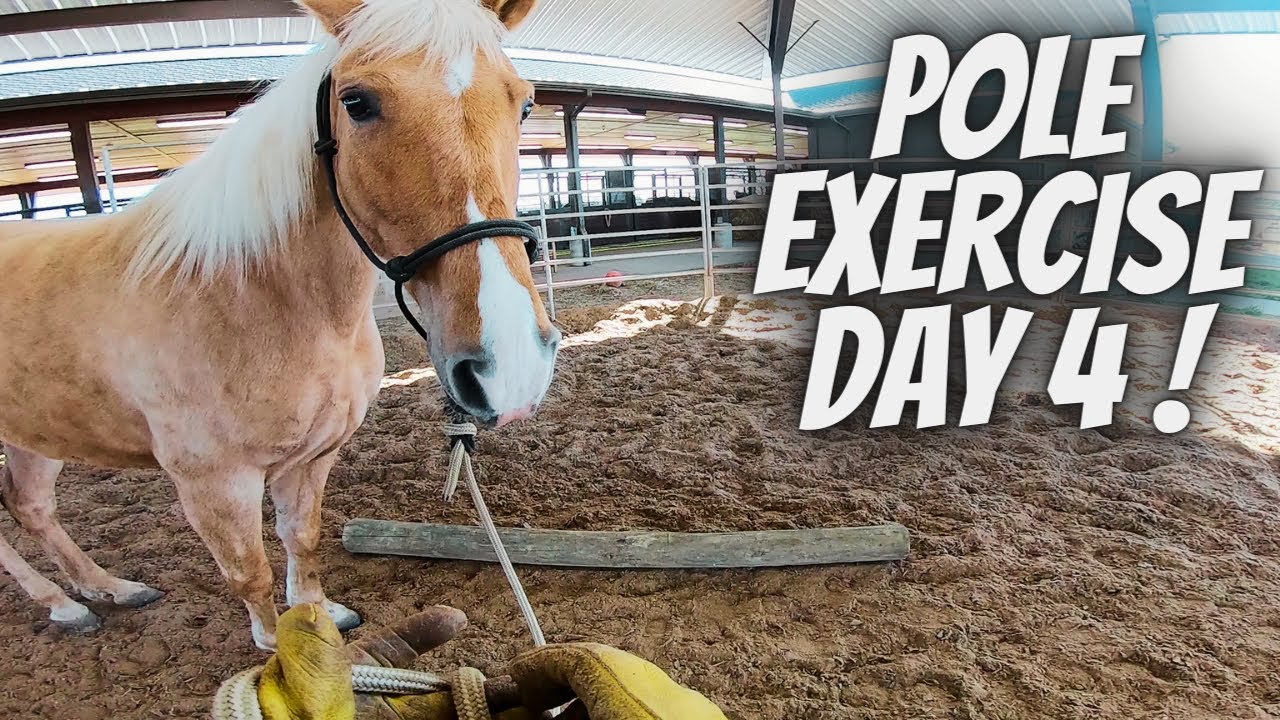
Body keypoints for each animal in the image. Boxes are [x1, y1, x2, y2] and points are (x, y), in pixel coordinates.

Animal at [0, 0, 556, 650]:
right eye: (357, 101)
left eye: (524, 103)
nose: (509, 366)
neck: (254, 296)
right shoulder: (216, 485)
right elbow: (251, 572)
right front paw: (276, 646)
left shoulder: (312, 457)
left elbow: (301, 540)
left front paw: (318, 618)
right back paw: (61, 605)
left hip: (35, 432)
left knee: (32, 506)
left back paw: (104, 590)